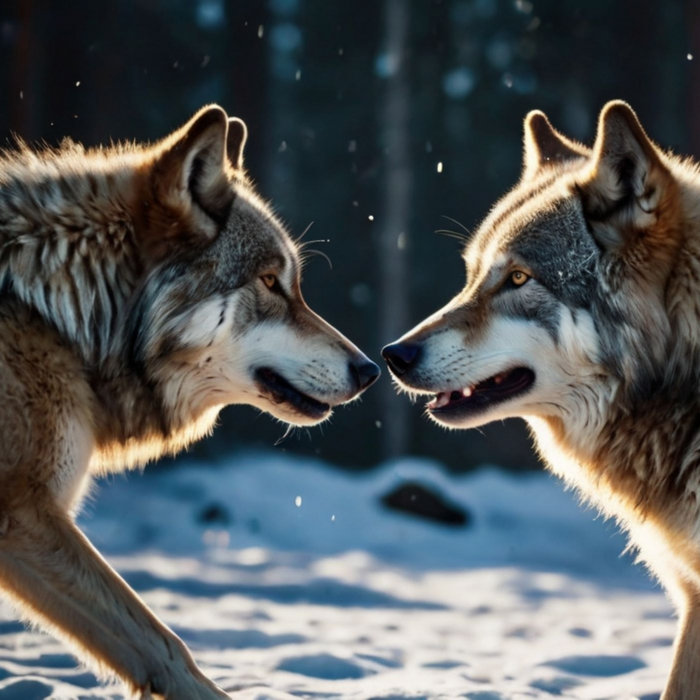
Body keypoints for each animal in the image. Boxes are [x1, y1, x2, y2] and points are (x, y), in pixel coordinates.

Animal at [0, 104, 379, 698]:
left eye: (292, 284)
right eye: (271, 281)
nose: (369, 370)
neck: (60, 314)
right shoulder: (27, 516)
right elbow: (162, 642)